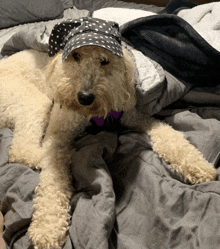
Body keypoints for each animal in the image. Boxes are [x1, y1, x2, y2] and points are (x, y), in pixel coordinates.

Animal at [0, 16, 217, 248]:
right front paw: (47, 228)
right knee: (21, 151)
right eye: (76, 56)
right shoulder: (58, 133)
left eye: (105, 61)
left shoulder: (138, 117)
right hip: (34, 101)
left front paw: (197, 165)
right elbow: (53, 179)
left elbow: (169, 136)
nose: (84, 97)